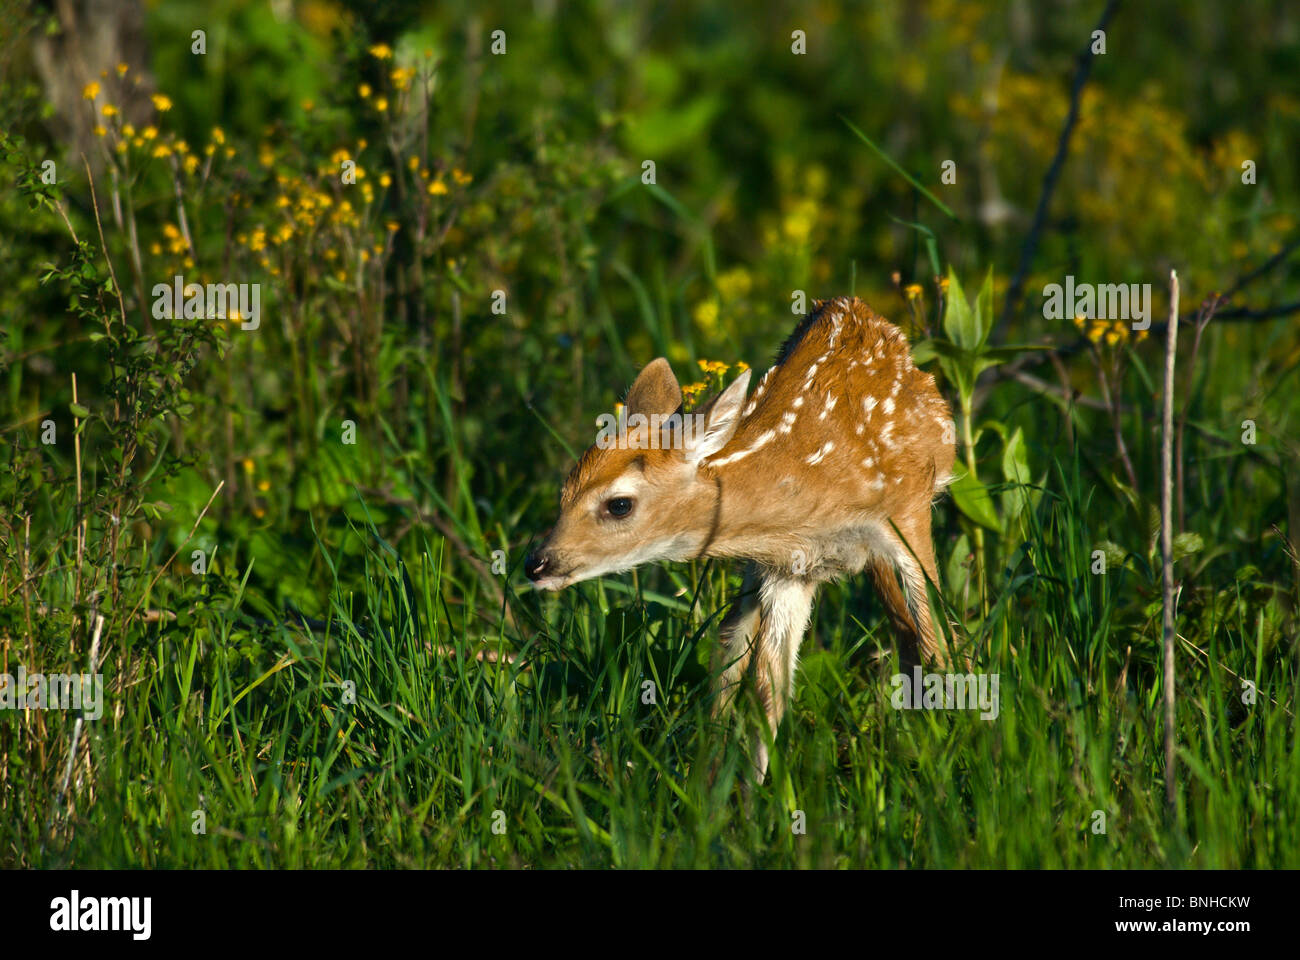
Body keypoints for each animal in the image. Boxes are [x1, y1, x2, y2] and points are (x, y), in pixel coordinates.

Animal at [525, 296, 956, 781]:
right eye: (564, 490)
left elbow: (939, 645)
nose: (537, 563)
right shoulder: (790, 566)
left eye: (619, 504)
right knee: (731, 642)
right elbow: (768, 690)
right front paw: (752, 797)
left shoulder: (907, 511)